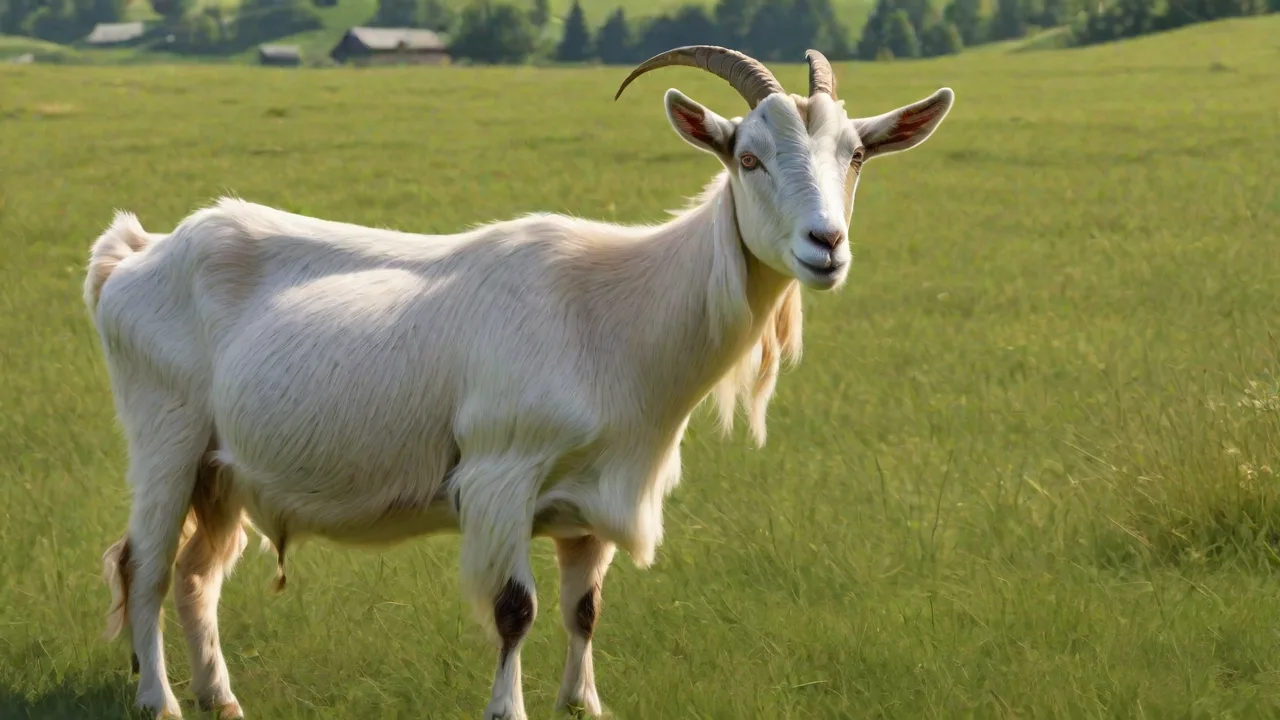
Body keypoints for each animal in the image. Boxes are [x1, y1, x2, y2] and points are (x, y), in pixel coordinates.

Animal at [84, 46, 954, 719]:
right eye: (748, 157)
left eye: (856, 155)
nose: (825, 245)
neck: (617, 311)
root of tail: (133, 257)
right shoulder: (503, 472)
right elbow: (516, 609)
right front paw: (510, 707)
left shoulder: (591, 497)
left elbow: (584, 609)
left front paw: (584, 702)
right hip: (166, 438)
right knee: (145, 564)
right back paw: (159, 700)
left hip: (223, 471)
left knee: (196, 575)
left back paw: (221, 697)